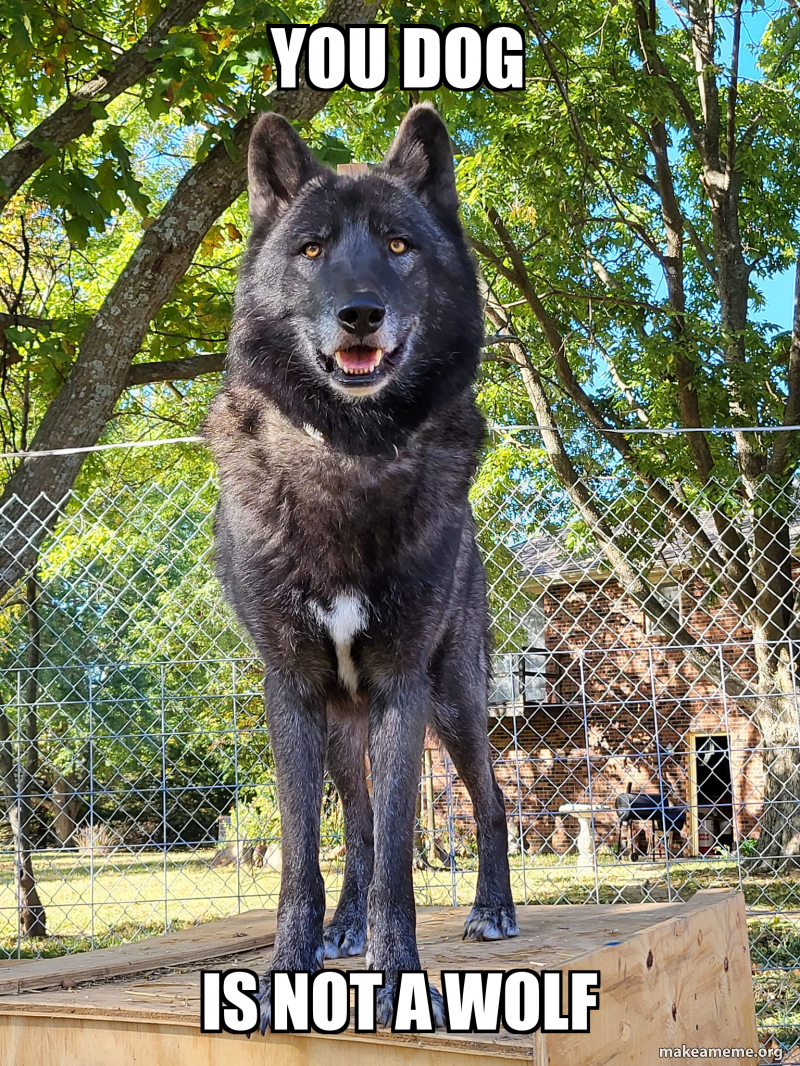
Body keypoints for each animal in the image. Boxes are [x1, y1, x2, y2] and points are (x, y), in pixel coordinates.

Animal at [205, 103, 518, 1032]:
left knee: (490, 802)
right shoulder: (291, 691)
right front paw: (285, 972)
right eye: (311, 250)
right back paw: (343, 930)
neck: (348, 456)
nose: (358, 314)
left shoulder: (402, 688)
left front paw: (399, 980)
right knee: (359, 822)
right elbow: (301, 859)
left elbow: (401, 867)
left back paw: (493, 911)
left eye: (399, 245)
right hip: (345, 729)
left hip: (453, 701)